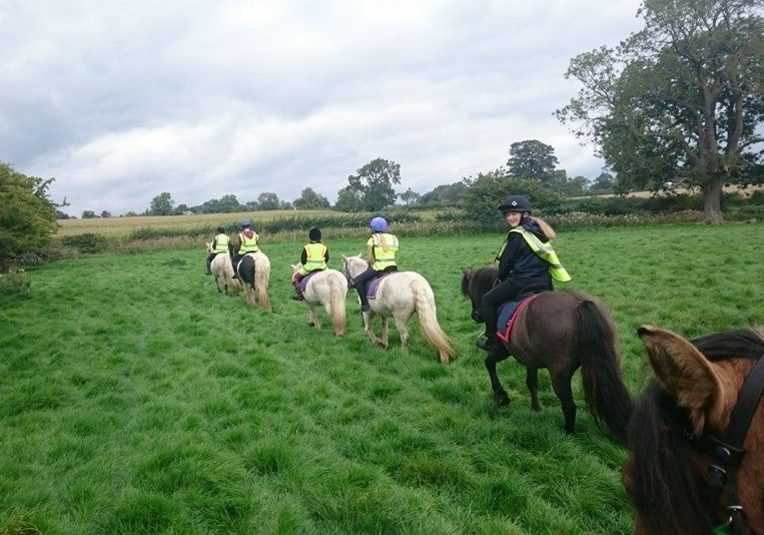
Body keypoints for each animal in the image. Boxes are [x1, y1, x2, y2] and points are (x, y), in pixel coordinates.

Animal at [461, 266, 632, 441]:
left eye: (470, 290)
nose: (475, 315)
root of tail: (580, 304)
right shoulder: (529, 358)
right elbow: (531, 382)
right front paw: (536, 409)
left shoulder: (503, 350)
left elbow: (489, 363)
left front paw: (501, 396)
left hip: (559, 375)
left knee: (569, 405)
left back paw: (567, 434)